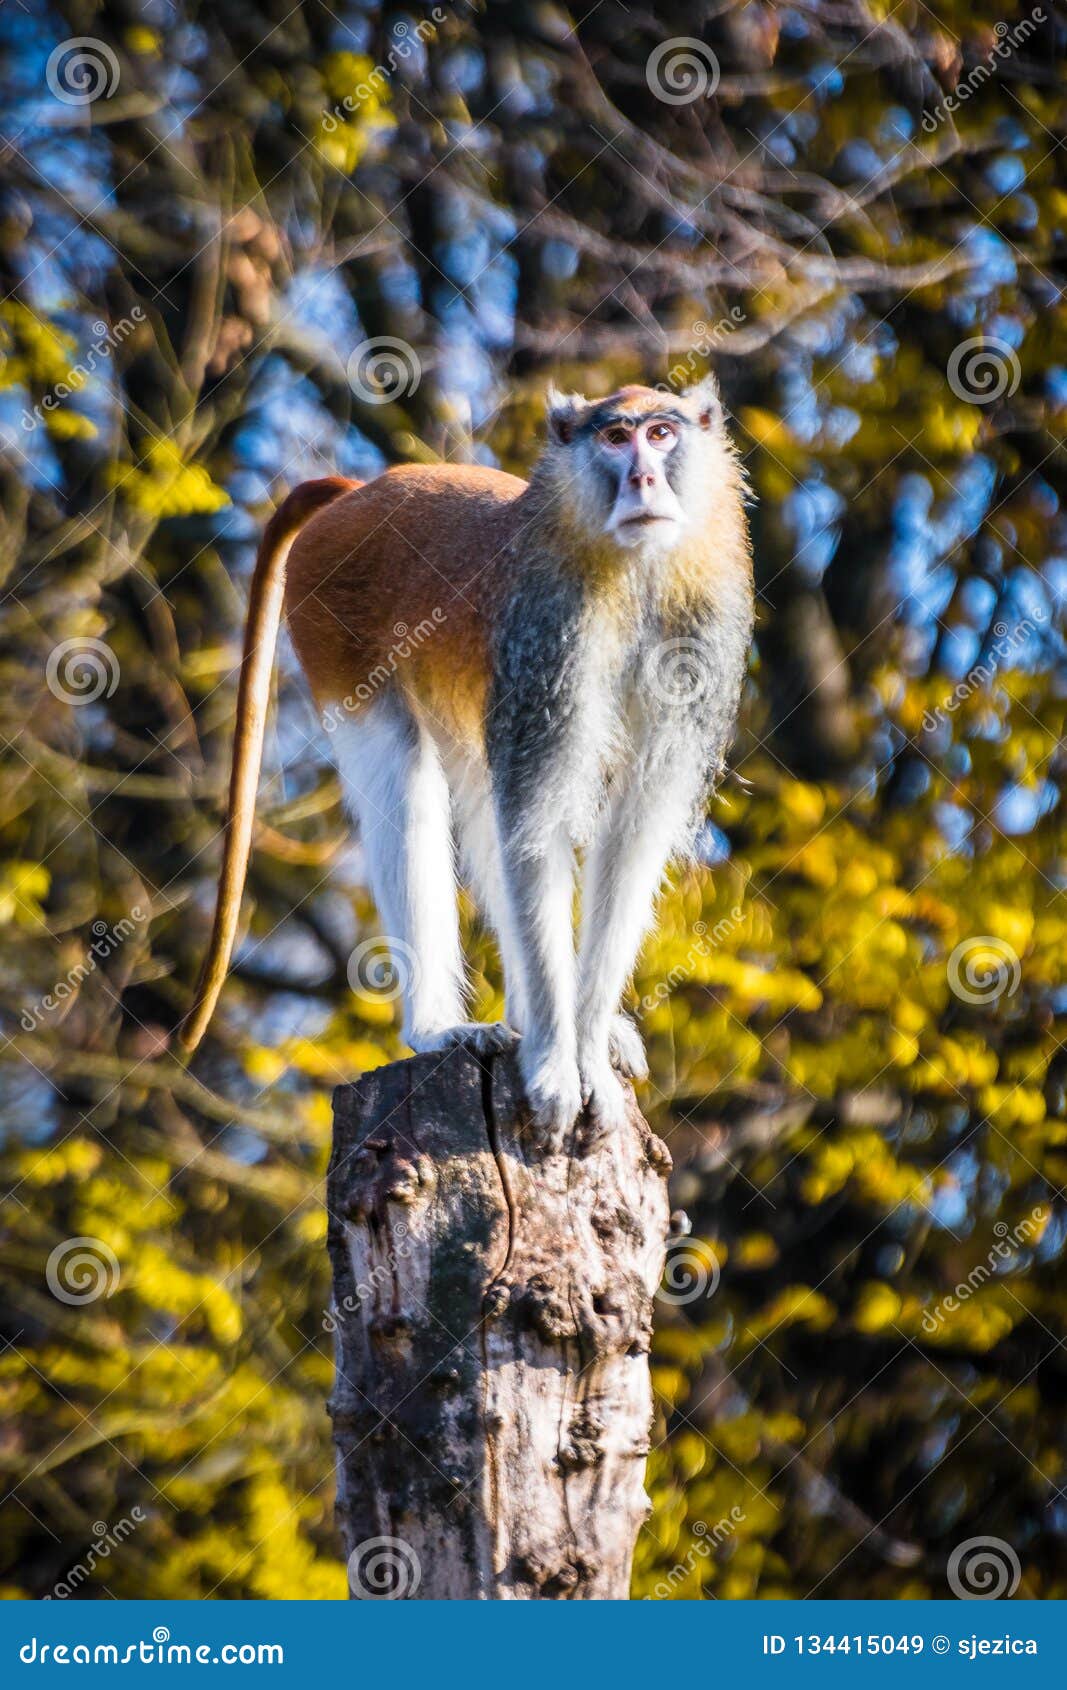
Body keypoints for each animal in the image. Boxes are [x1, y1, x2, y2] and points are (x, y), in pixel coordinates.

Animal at [180, 374, 753, 1148]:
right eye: (615, 437)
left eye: (662, 434)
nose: (642, 477)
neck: (632, 571)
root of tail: (362, 490)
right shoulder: (548, 638)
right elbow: (534, 831)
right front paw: (556, 1067)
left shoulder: (697, 642)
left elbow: (630, 838)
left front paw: (589, 1046)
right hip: (334, 628)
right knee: (404, 785)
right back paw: (437, 1029)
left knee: (480, 795)